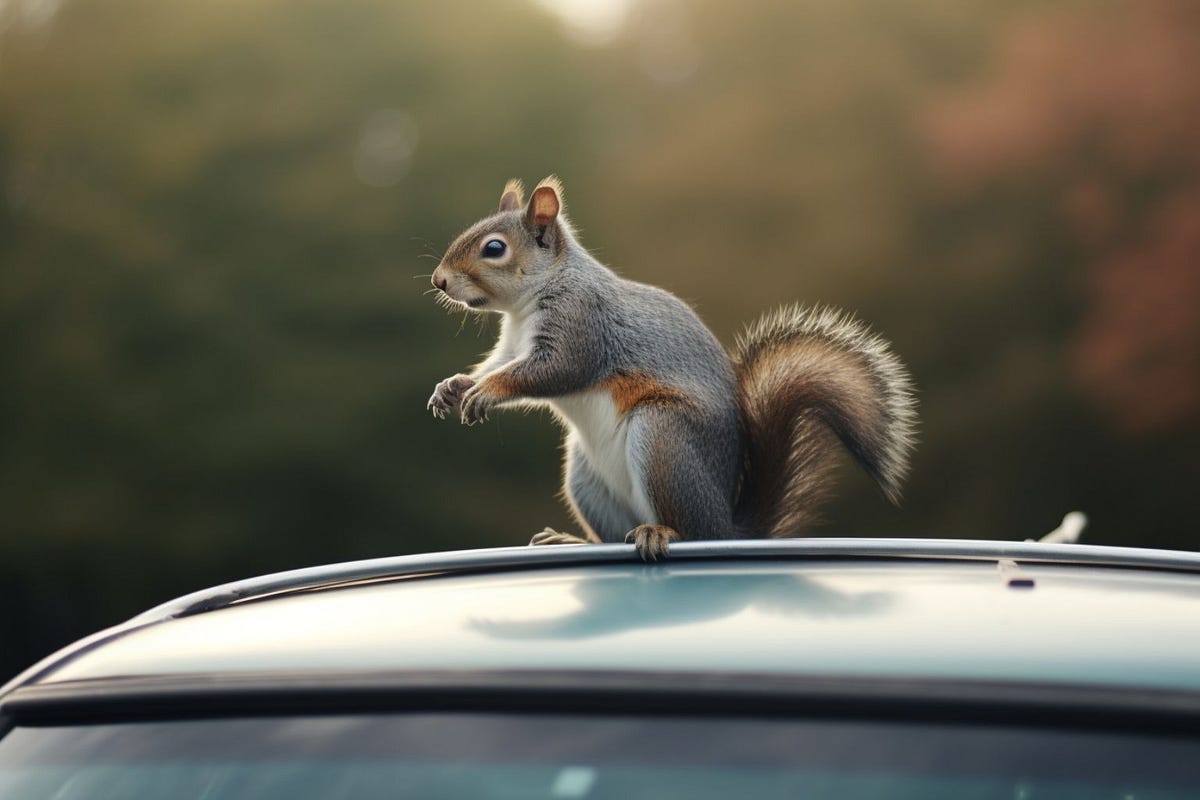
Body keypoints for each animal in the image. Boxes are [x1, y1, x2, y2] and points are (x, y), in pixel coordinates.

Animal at [428, 176, 917, 561]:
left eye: (494, 248)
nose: (439, 281)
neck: (532, 300)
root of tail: (726, 524)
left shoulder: (580, 326)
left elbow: (552, 372)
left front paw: (485, 393)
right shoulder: (511, 344)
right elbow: (496, 364)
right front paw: (454, 386)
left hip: (663, 438)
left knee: (689, 528)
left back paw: (661, 533)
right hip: (585, 474)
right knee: (612, 536)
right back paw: (575, 542)